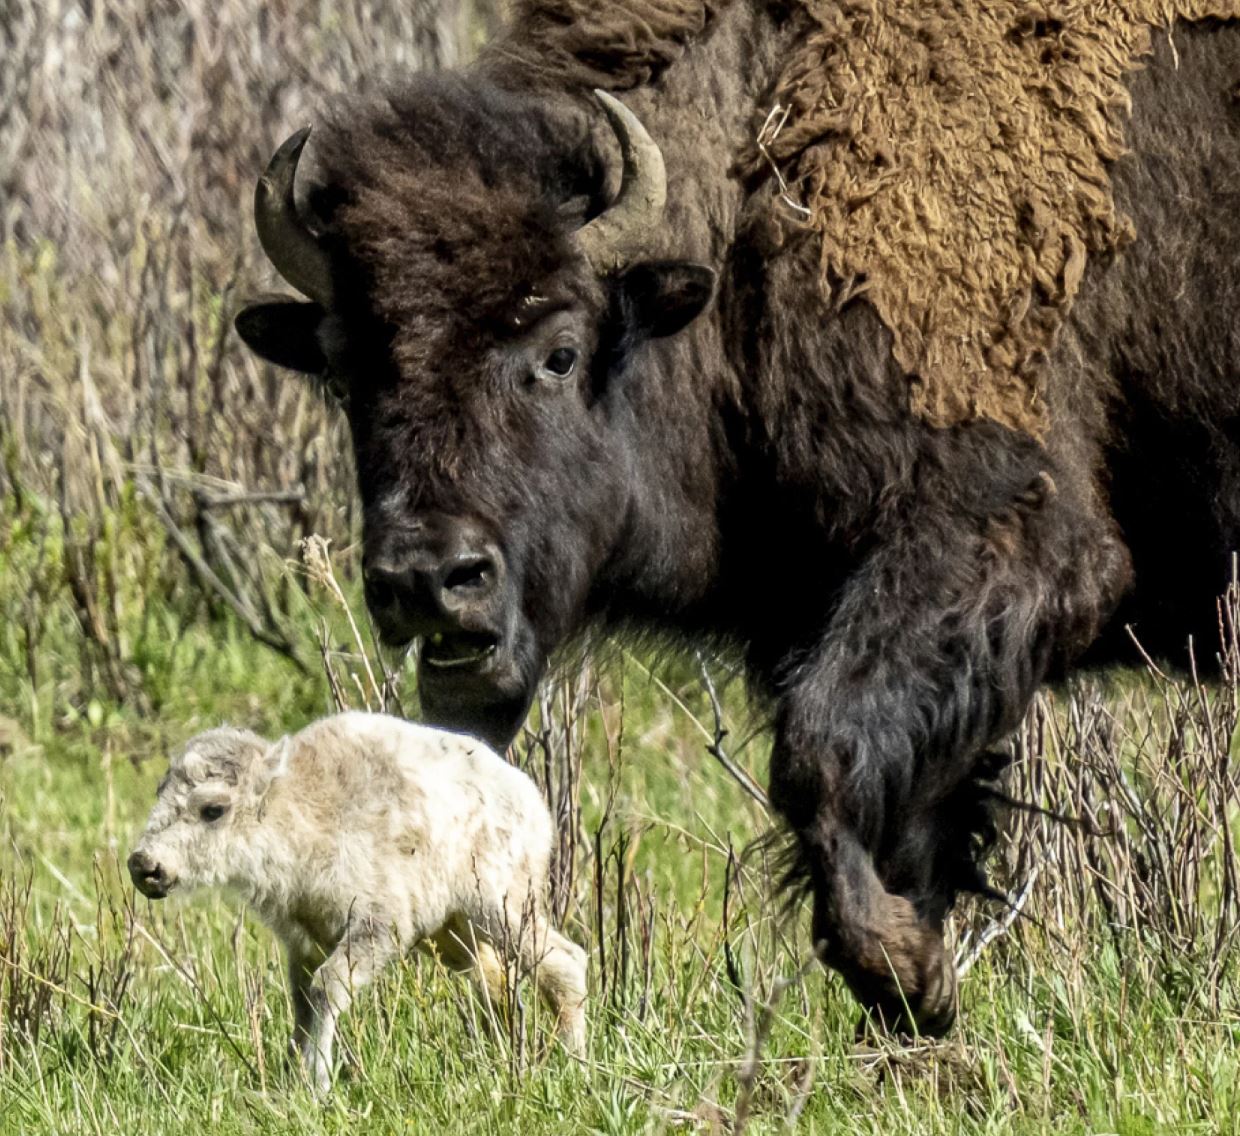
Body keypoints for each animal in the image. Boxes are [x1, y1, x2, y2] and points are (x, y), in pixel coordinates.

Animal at [235, 2, 1240, 1033]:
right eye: (344, 373)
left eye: (559, 351)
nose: (430, 580)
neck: (760, 198)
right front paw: (917, 990)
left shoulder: (1006, 544)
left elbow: (820, 754)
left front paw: (902, 970)